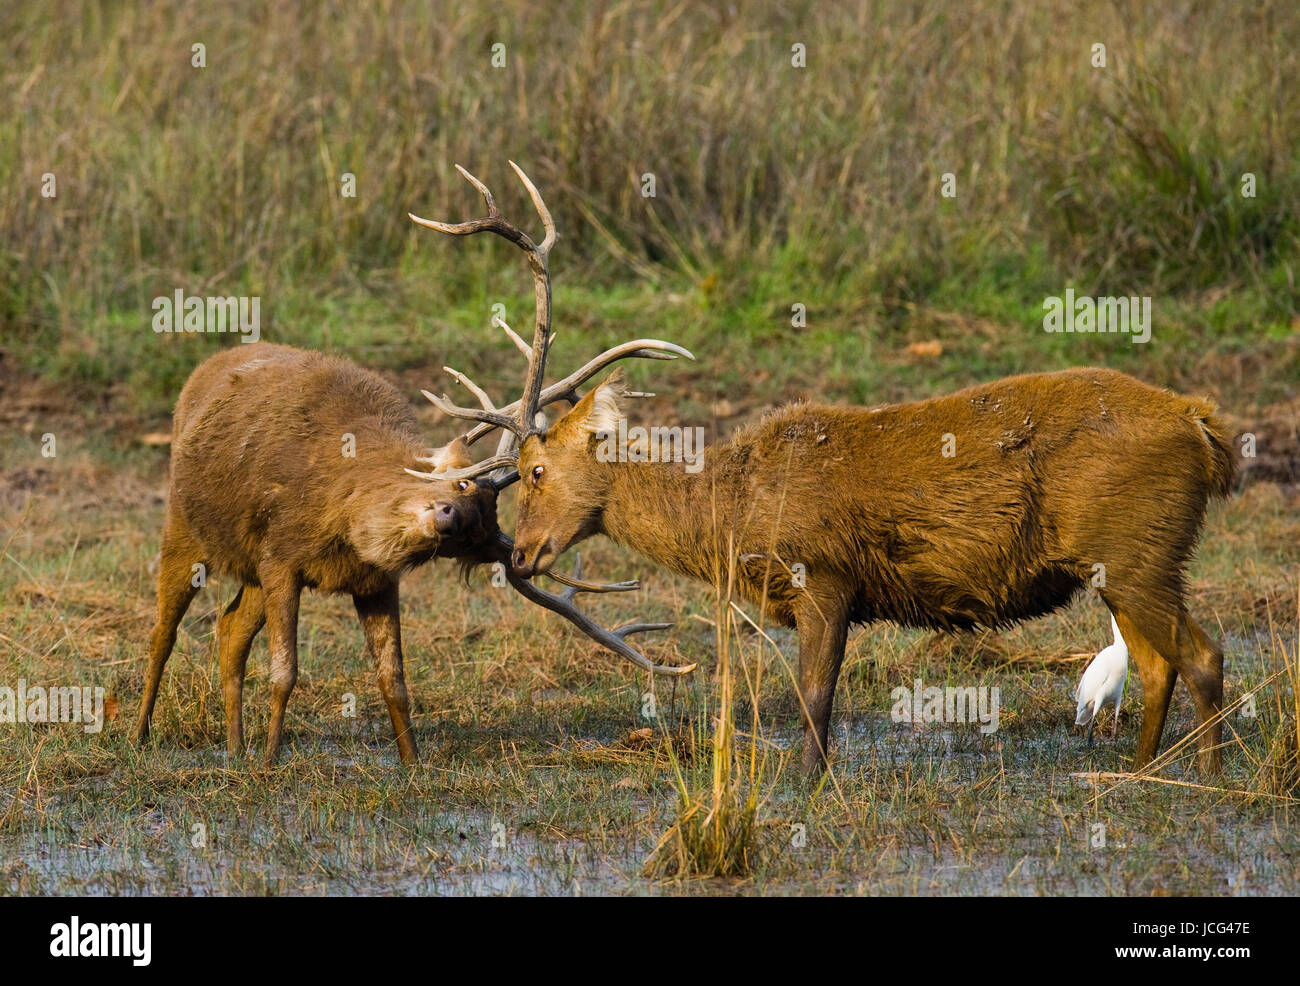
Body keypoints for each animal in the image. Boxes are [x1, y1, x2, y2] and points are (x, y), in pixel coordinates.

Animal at [134, 161, 694, 765]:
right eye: (464, 490)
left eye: (465, 541)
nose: (446, 519)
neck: (336, 510)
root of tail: (203, 369)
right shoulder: (280, 554)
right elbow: (286, 673)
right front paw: (270, 761)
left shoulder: (371, 581)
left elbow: (394, 680)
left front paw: (409, 762)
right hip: (182, 525)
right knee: (163, 632)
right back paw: (141, 733)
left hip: (245, 565)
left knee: (229, 629)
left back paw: (234, 747)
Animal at [504, 365, 1236, 778]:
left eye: (534, 470)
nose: (520, 554)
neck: (732, 514)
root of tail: (1205, 427)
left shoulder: (824, 576)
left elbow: (813, 694)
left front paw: (808, 782)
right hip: (1124, 563)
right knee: (1155, 665)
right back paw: (1139, 771)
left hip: (1140, 552)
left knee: (1203, 654)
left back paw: (1208, 777)